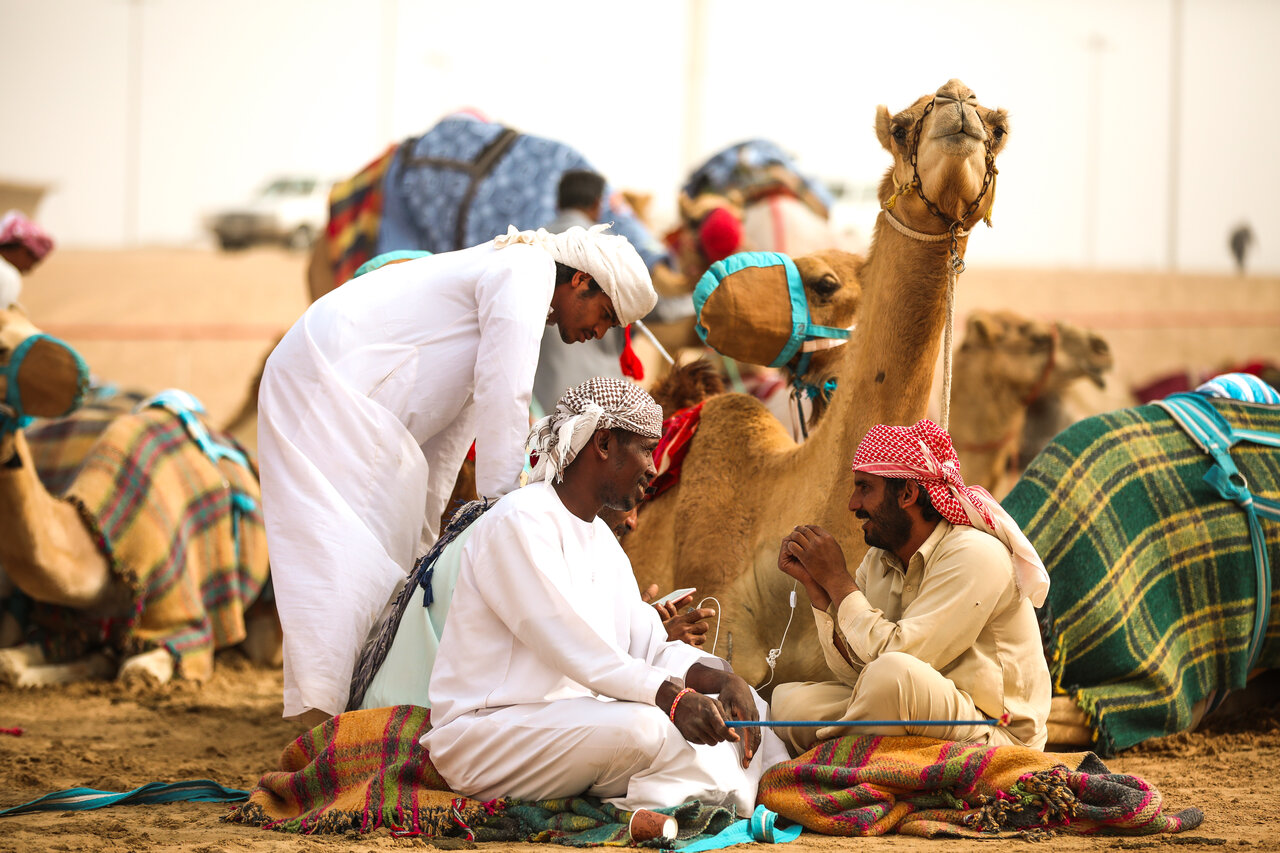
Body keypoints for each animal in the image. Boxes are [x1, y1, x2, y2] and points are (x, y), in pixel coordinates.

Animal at [0, 304, 278, 687]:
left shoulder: (180, 618)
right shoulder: (63, 621)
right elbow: (12, 661)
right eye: (2, 348)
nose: (82, 376)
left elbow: (135, 669)